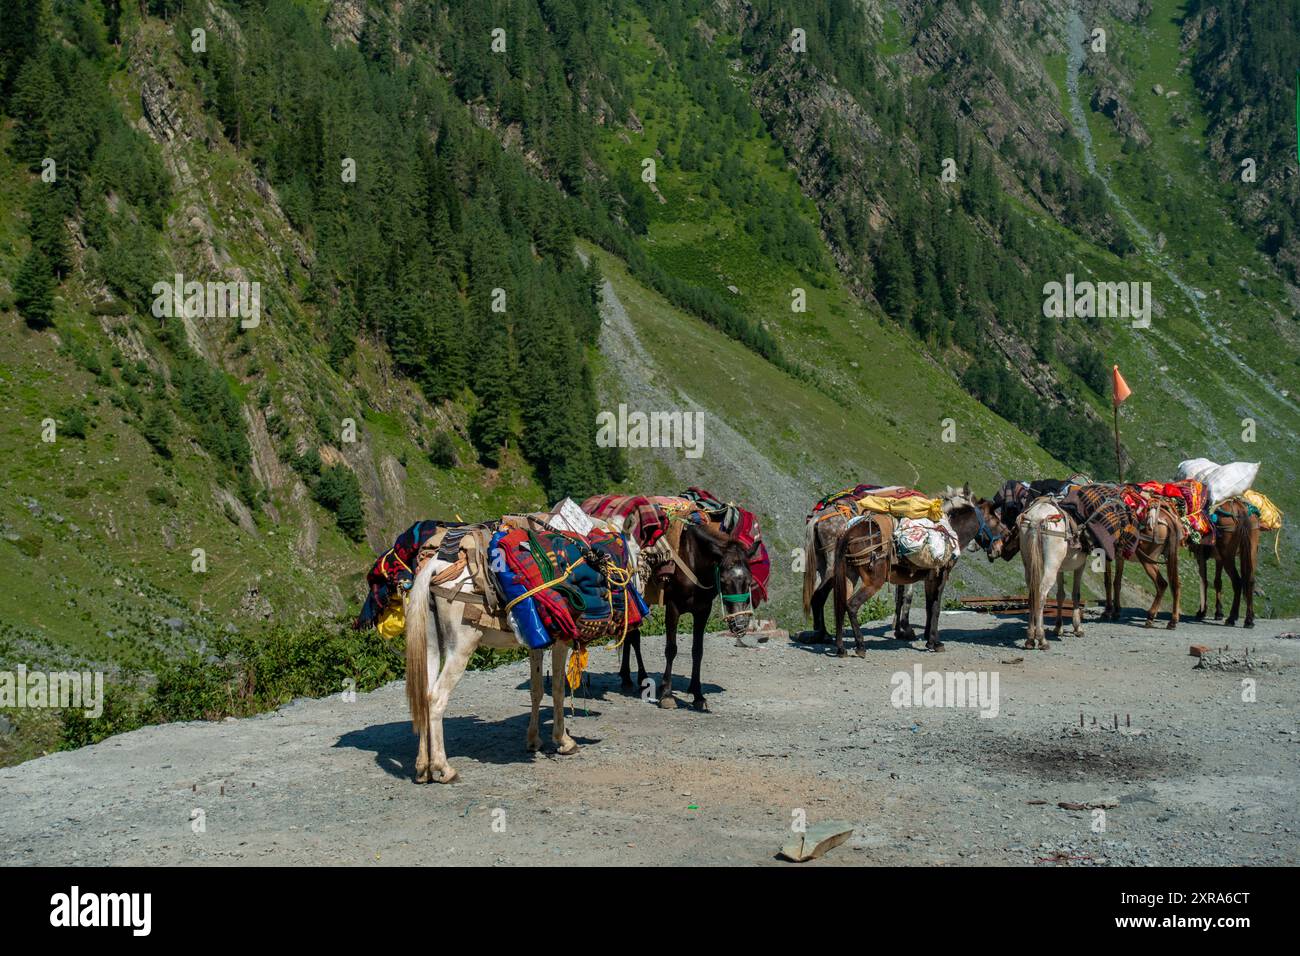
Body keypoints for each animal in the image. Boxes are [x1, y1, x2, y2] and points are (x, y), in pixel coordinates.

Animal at [615, 522, 759, 711]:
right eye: (724, 581)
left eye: (749, 581)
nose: (740, 624)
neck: (694, 562)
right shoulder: (673, 608)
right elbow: (671, 649)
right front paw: (667, 695)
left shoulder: (702, 611)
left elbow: (698, 651)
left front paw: (698, 695)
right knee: (633, 636)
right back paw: (636, 678)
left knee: (631, 634)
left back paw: (631, 678)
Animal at [829, 486, 1006, 654]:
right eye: (996, 521)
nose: (999, 548)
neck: (950, 531)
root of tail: (849, 532)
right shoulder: (941, 576)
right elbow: (936, 607)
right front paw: (936, 643)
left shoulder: (930, 578)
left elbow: (929, 606)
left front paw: (929, 638)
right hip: (873, 582)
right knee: (852, 605)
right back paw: (860, 646)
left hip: (849, 576)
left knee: (841, 605)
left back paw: (841, 648)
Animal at [1018, 497, 1089, 649]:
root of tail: (1036, 519)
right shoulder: (1080, 565)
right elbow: (1076, 594)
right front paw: (1078, 628)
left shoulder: (1059, 570)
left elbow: (1060, 595)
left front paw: (1058, 627)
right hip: (1051, 566)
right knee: (1041, 594)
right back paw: (1042, 639)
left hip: (1029, 565)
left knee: (1032, 594)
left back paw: (1030, 639)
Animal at [1102, 500, 1183, 629]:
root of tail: (1168, 518)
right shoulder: (1120, 556)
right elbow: (1117, 582)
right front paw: (1116, 612)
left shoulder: (1105, 553)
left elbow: (1108, 581)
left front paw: (1108, 611)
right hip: (1170, 558)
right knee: (1176, 584)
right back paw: (1173, 620)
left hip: (1147, 560)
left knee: (1162, 584)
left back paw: (1151, 616)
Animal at [1192, 499, 1260, 628]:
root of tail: (1240, 508)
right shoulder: (1219, 559)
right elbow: (1218, 582)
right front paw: (1219, 612)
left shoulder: (1201, 557)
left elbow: (1204, 582)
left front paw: (1201, 612)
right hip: (1251, 552)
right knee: (1250, 580)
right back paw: (1249, 619)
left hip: (1228, 556)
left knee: (1237, 582)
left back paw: (1232, 618)